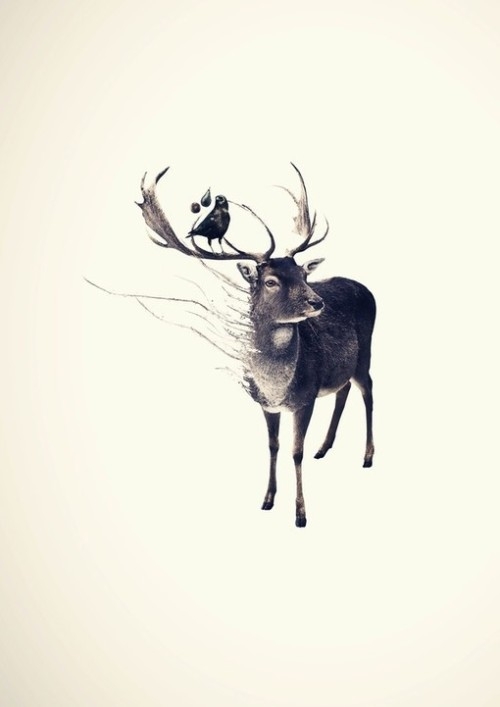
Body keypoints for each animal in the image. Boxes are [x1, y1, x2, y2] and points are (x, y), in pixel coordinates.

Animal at [136, 164, 376, 527]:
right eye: (271, 281)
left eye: (304, 274)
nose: (317, 302)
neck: (276, 384)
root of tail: (366, 289)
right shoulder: (266, 404)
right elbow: (273, 446)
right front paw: (267, 499)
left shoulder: (305, 398)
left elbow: (295, 451)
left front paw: (301, 514)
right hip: (341, 366)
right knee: (344, 388)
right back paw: (324, 448)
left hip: (366, 353)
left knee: (369, 390)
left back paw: (367, 456)